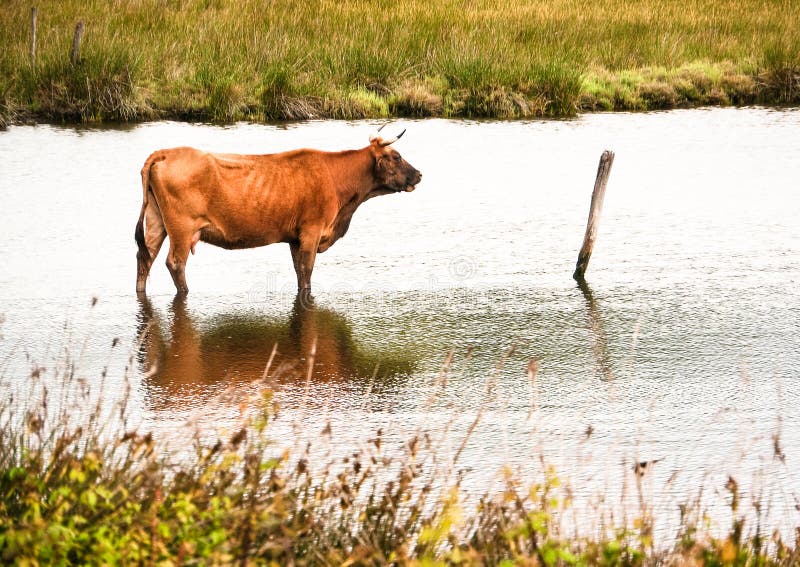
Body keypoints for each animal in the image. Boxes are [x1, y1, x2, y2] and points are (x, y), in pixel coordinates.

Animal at [135, 127, 422, 295]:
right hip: (182, 228)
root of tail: (165, 152)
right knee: (174, 262)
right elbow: (306, 271)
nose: (419, 174)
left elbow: (298, 271)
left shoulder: (295, 238)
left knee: (145, 257)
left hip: (157, 221)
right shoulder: (311, 230)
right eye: (396, 156)